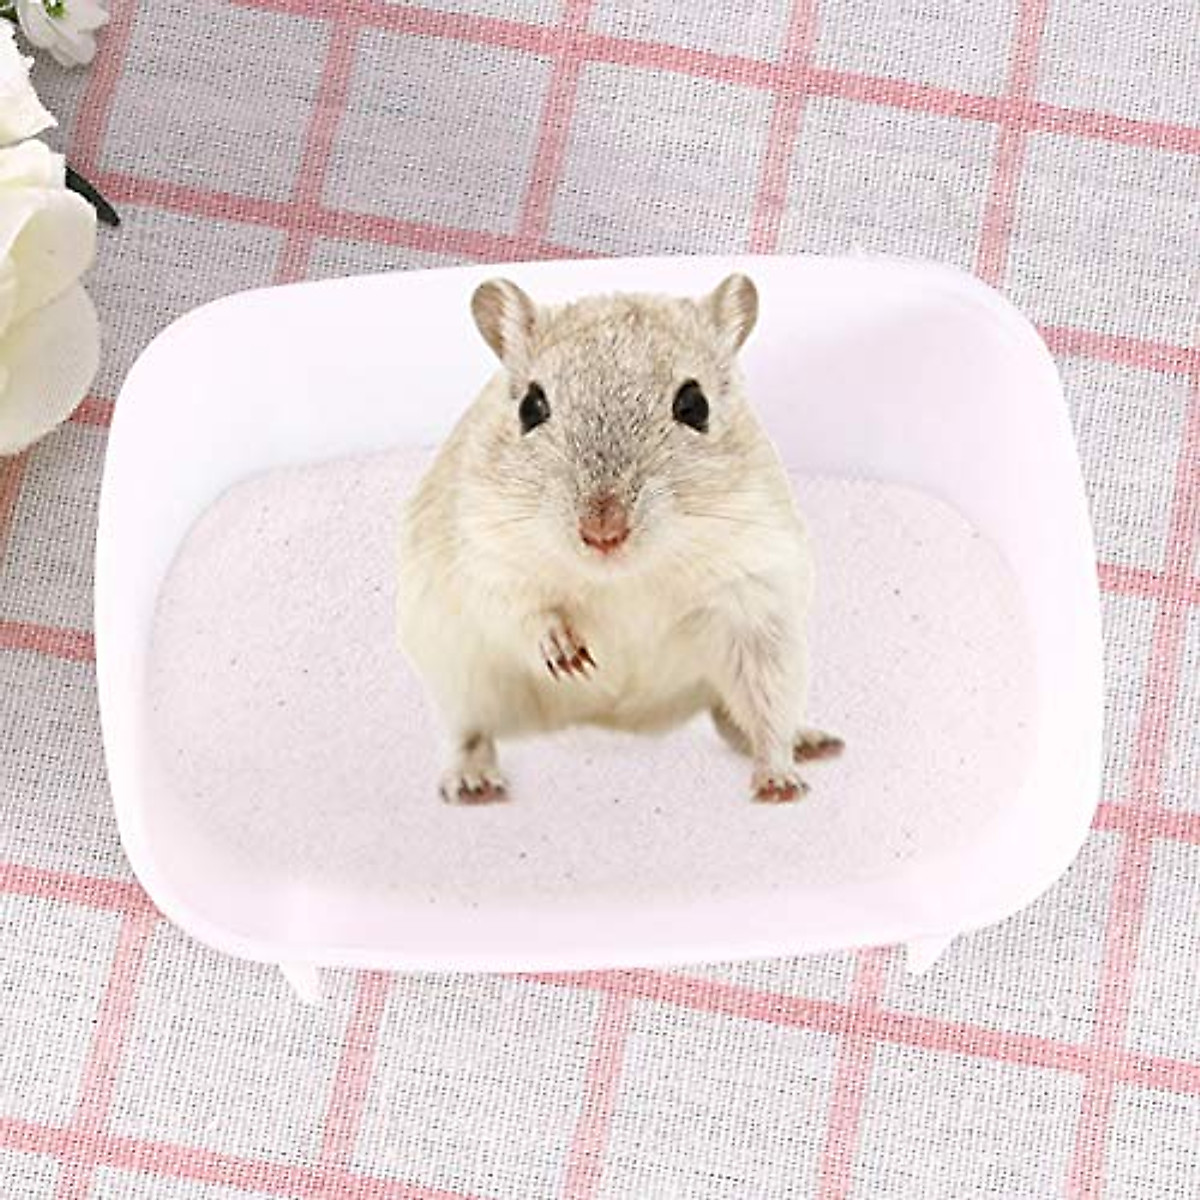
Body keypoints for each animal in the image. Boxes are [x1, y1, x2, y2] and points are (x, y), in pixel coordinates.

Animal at [397, 273, 841, 805]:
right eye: (530, 407)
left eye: (695, 405)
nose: (603, 532)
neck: (623, 577)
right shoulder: (486, 558)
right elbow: (525, 612)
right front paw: (570, 657)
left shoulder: (757, 599)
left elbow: (768, 708)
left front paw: (780, 785)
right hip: (458, 679)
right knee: (470, 734)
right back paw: (473, 784)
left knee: (737, 718)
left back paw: (813, 743)